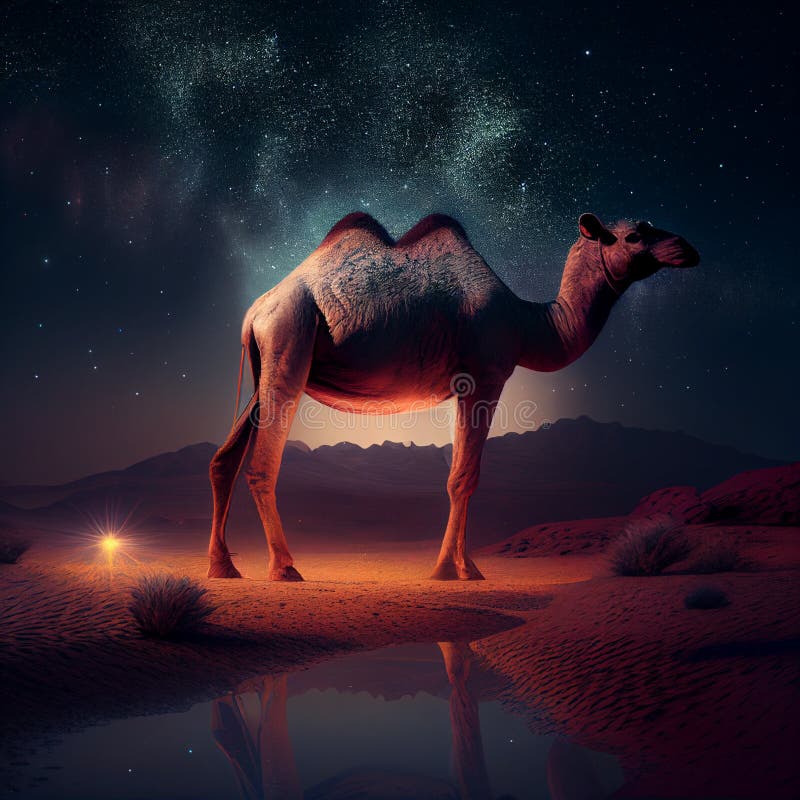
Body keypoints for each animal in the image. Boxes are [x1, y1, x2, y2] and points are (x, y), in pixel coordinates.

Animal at [208, 211, 699, 581]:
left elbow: (468, 476)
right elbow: (462, 476)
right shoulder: (483, 377)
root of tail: (254, 312)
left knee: (224, 460)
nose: (686, 248)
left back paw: (223, 568)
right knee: (261, 464)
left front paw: (469, 568)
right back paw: (284, 568)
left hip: (263, 367)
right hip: (289, 341)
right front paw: (449, 570)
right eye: (635, 235)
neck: (528, 323)